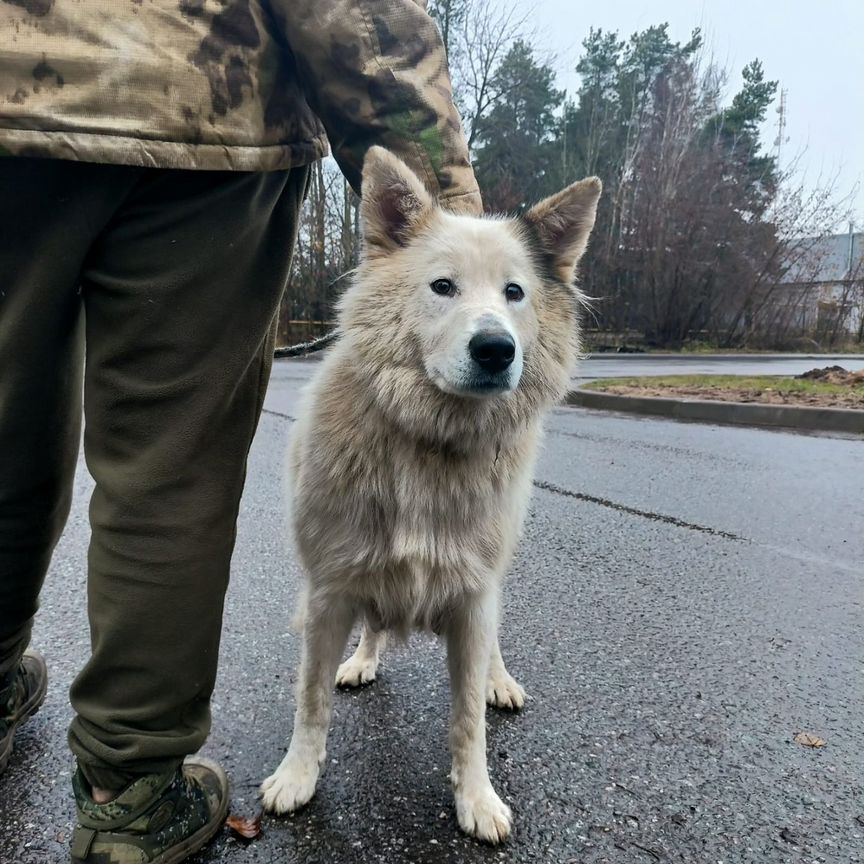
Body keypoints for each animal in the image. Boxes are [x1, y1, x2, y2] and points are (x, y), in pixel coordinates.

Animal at [260, 148, 600, 844]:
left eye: (514, 293)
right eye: (443, 287)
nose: (496, 349)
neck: (428, 438)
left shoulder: (473, 600)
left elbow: (468, 719)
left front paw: (477, 799)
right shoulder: (329, 590)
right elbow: (311, 701)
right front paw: (297, 776)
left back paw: (500, 681)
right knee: (371, 627)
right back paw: (363, 659)